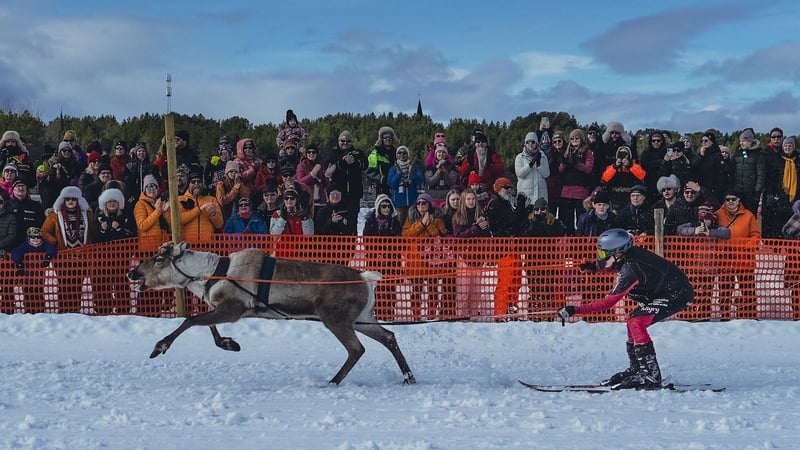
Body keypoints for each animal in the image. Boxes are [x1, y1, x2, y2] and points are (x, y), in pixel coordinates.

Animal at [127, 241, 415, 385]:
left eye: (158, 259)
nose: (131, 272)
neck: (209, 273)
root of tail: (366, 278)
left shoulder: (233, 309)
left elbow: (190, 320)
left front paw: (159, 346)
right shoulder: (222, 308)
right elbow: (207, 325)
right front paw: (230, 344)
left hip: (336, 319)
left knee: (357, 349)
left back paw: (333, 381)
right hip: (362, 318)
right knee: (389, 336)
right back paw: (408, 377)